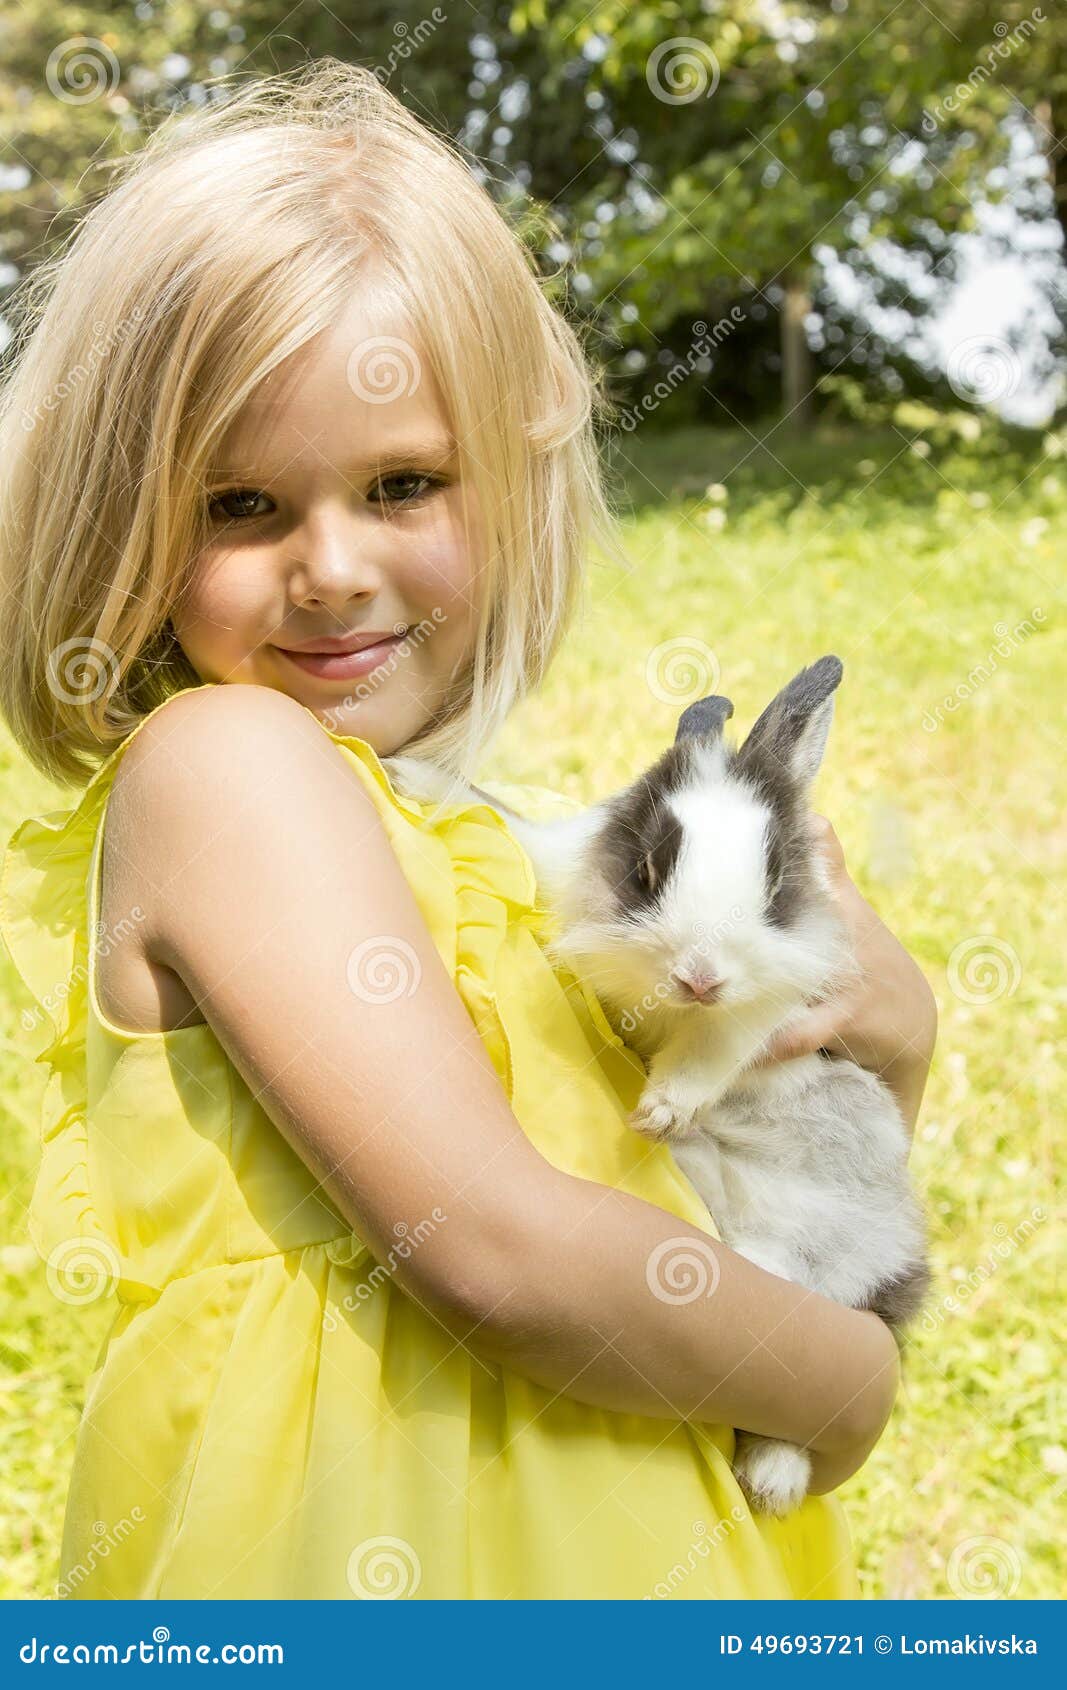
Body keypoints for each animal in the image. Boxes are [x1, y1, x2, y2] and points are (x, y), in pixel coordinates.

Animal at [386, 654, 930, 1516]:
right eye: (646, 869)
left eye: (775, 883)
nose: (699, 976)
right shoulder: (564, 867)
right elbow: (510, 826)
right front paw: (416, 778)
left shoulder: (768, 1007)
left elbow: (712, 1050)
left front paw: (662, 1109)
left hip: (819, 1273)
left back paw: (772, 1479)